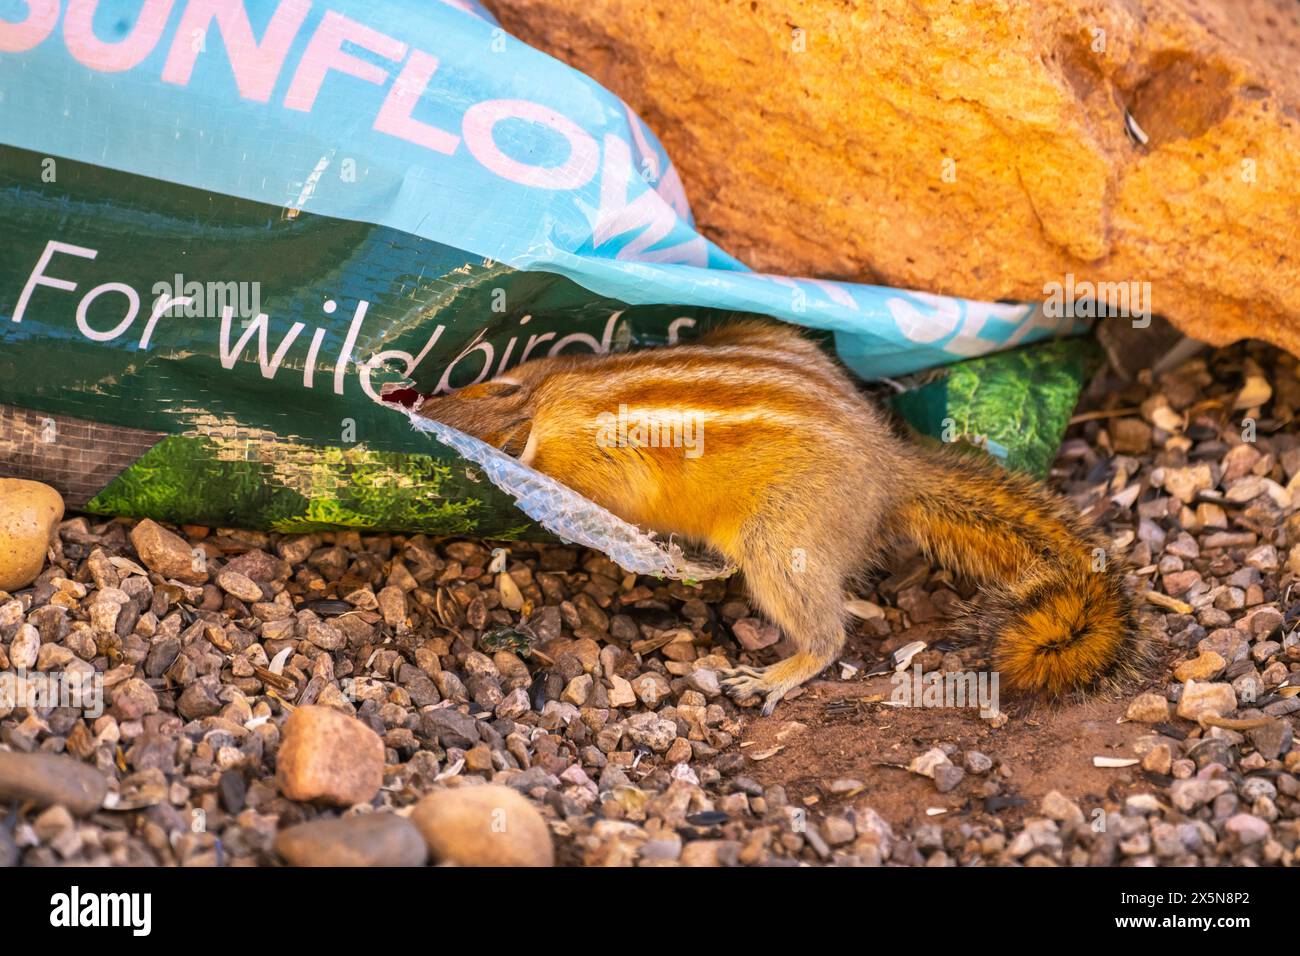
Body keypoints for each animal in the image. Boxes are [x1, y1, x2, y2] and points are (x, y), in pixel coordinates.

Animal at [417, 319, 1143, 715]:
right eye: (449, 393)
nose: (412, 403)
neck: (540, 403)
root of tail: (889, 468)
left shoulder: (609, 465)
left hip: (778, 541)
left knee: (827, 634)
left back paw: (773, 674)